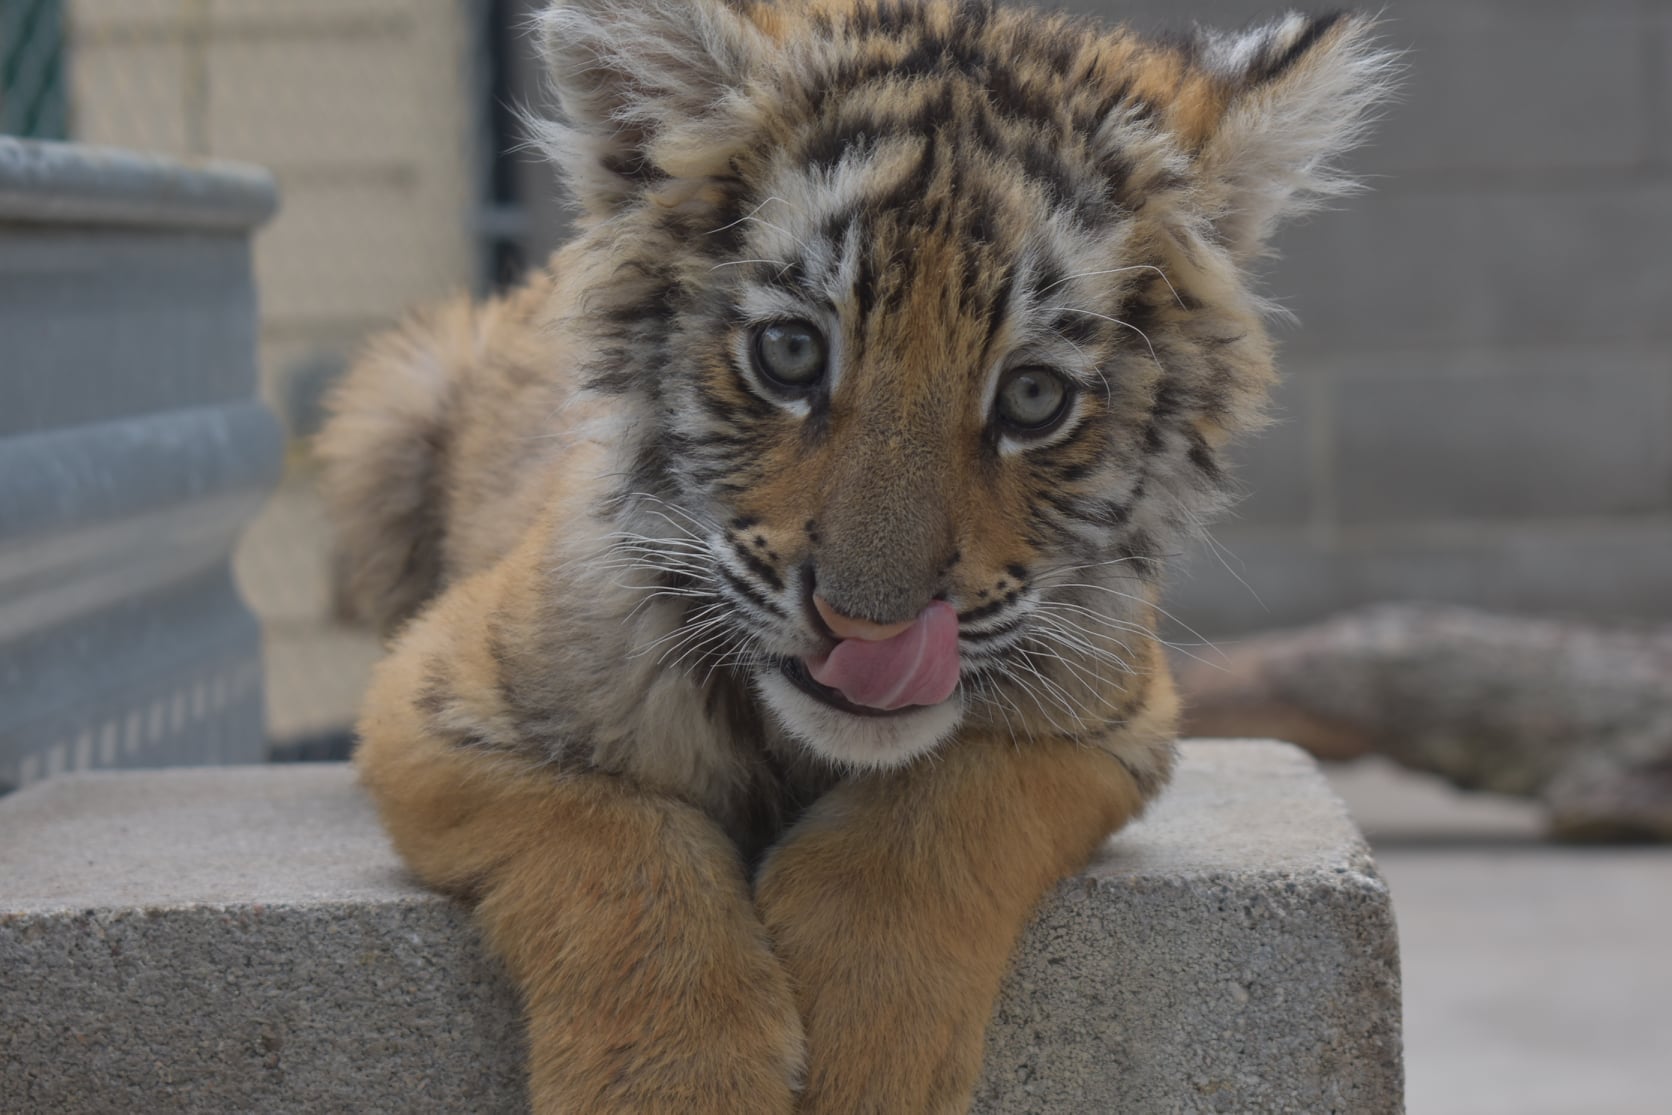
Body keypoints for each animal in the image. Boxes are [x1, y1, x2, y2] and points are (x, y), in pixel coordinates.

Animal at [316, 1, 1392, 1110]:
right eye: (789, 353)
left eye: (1033, 397)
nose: (869, 629)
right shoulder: (435, 699)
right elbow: (617, 840)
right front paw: (676, 1081)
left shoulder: (1109, 715)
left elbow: (946, 800)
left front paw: (865, 1044)